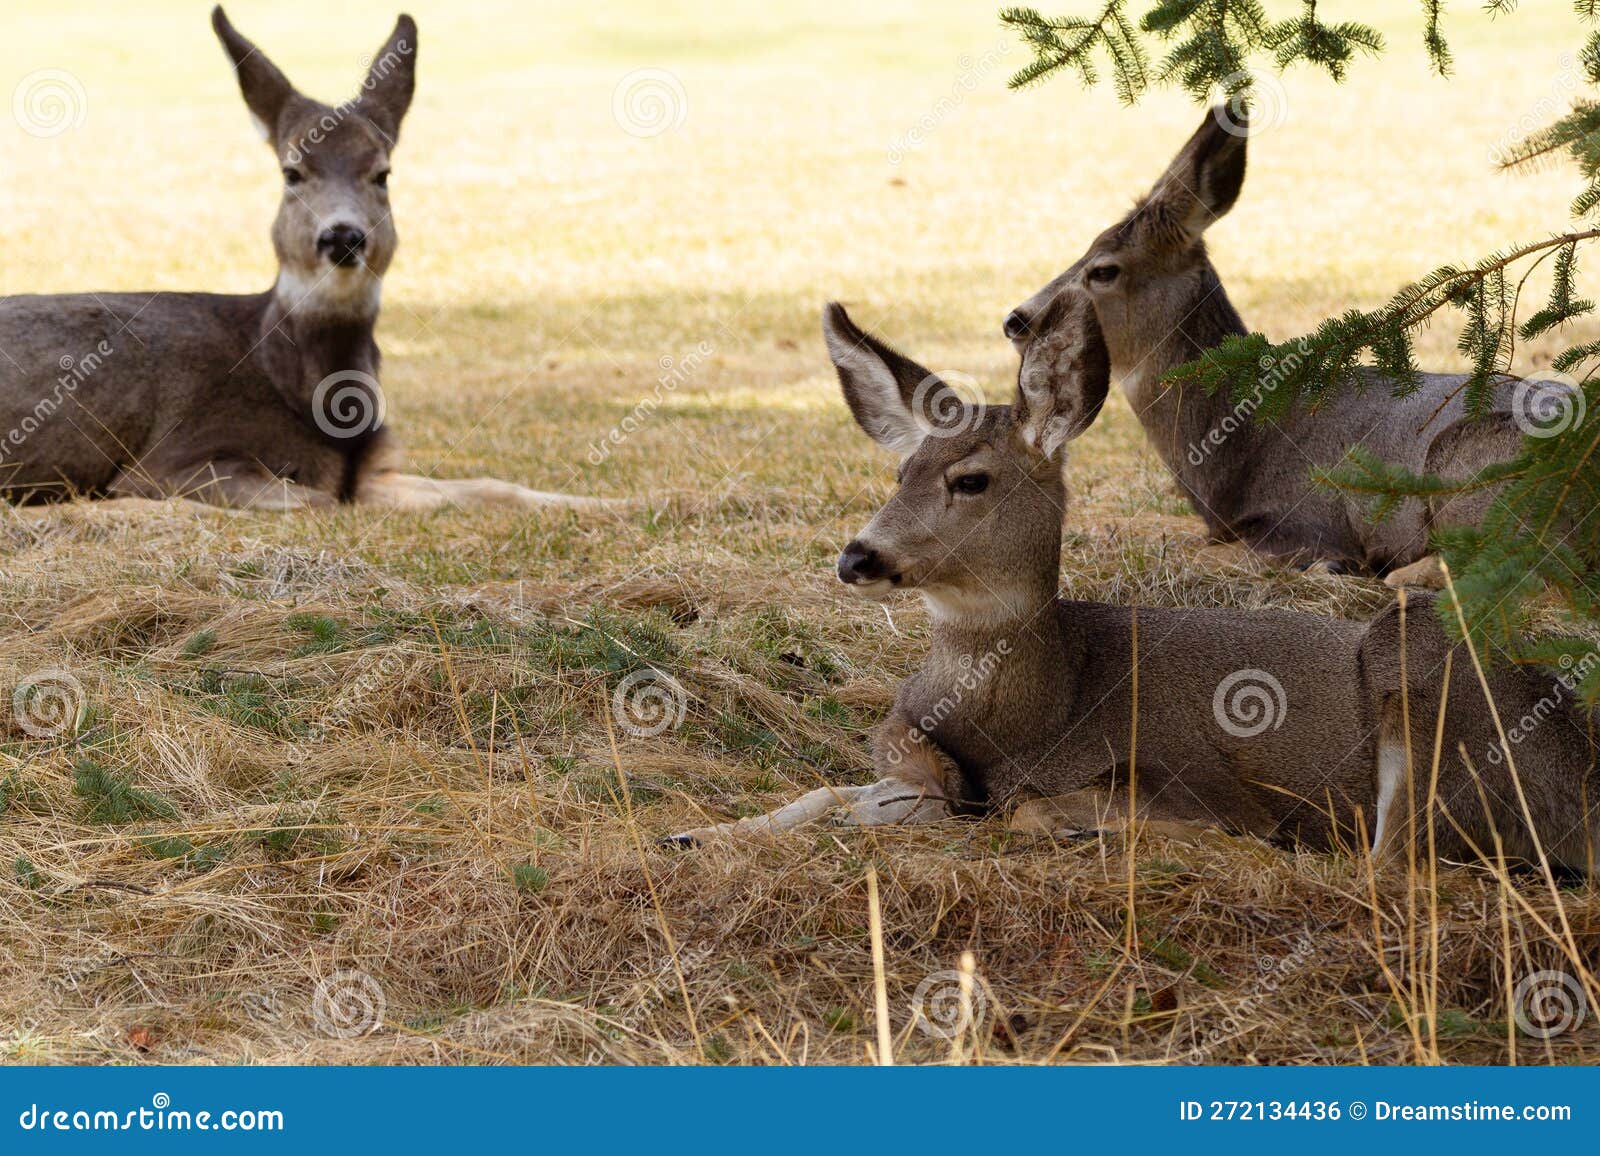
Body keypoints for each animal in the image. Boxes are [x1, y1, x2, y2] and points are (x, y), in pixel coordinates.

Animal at [0, 8, 605, 513]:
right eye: (292, 172)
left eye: (382, 173)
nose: (342, 236)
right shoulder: (175, 457)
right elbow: (319, 500)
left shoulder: (375, 467)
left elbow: (491, 485)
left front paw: (610, 506)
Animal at [669, 304, 1600, 878]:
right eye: (900, 472)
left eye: (970, 480)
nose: (856, 558)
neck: (1022, 712)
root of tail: (1583, 777)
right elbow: (828, 790)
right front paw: (699, 830)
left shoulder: (1173, 775)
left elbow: (1021, 810)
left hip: (1418, 665)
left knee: (1391, 865)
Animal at [1002, 108, 1555, 588]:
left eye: (1103, 268)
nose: (1016, 320)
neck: (1235, 448)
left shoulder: (1307, 522)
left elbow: (1207, 556)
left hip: (1468, 459)